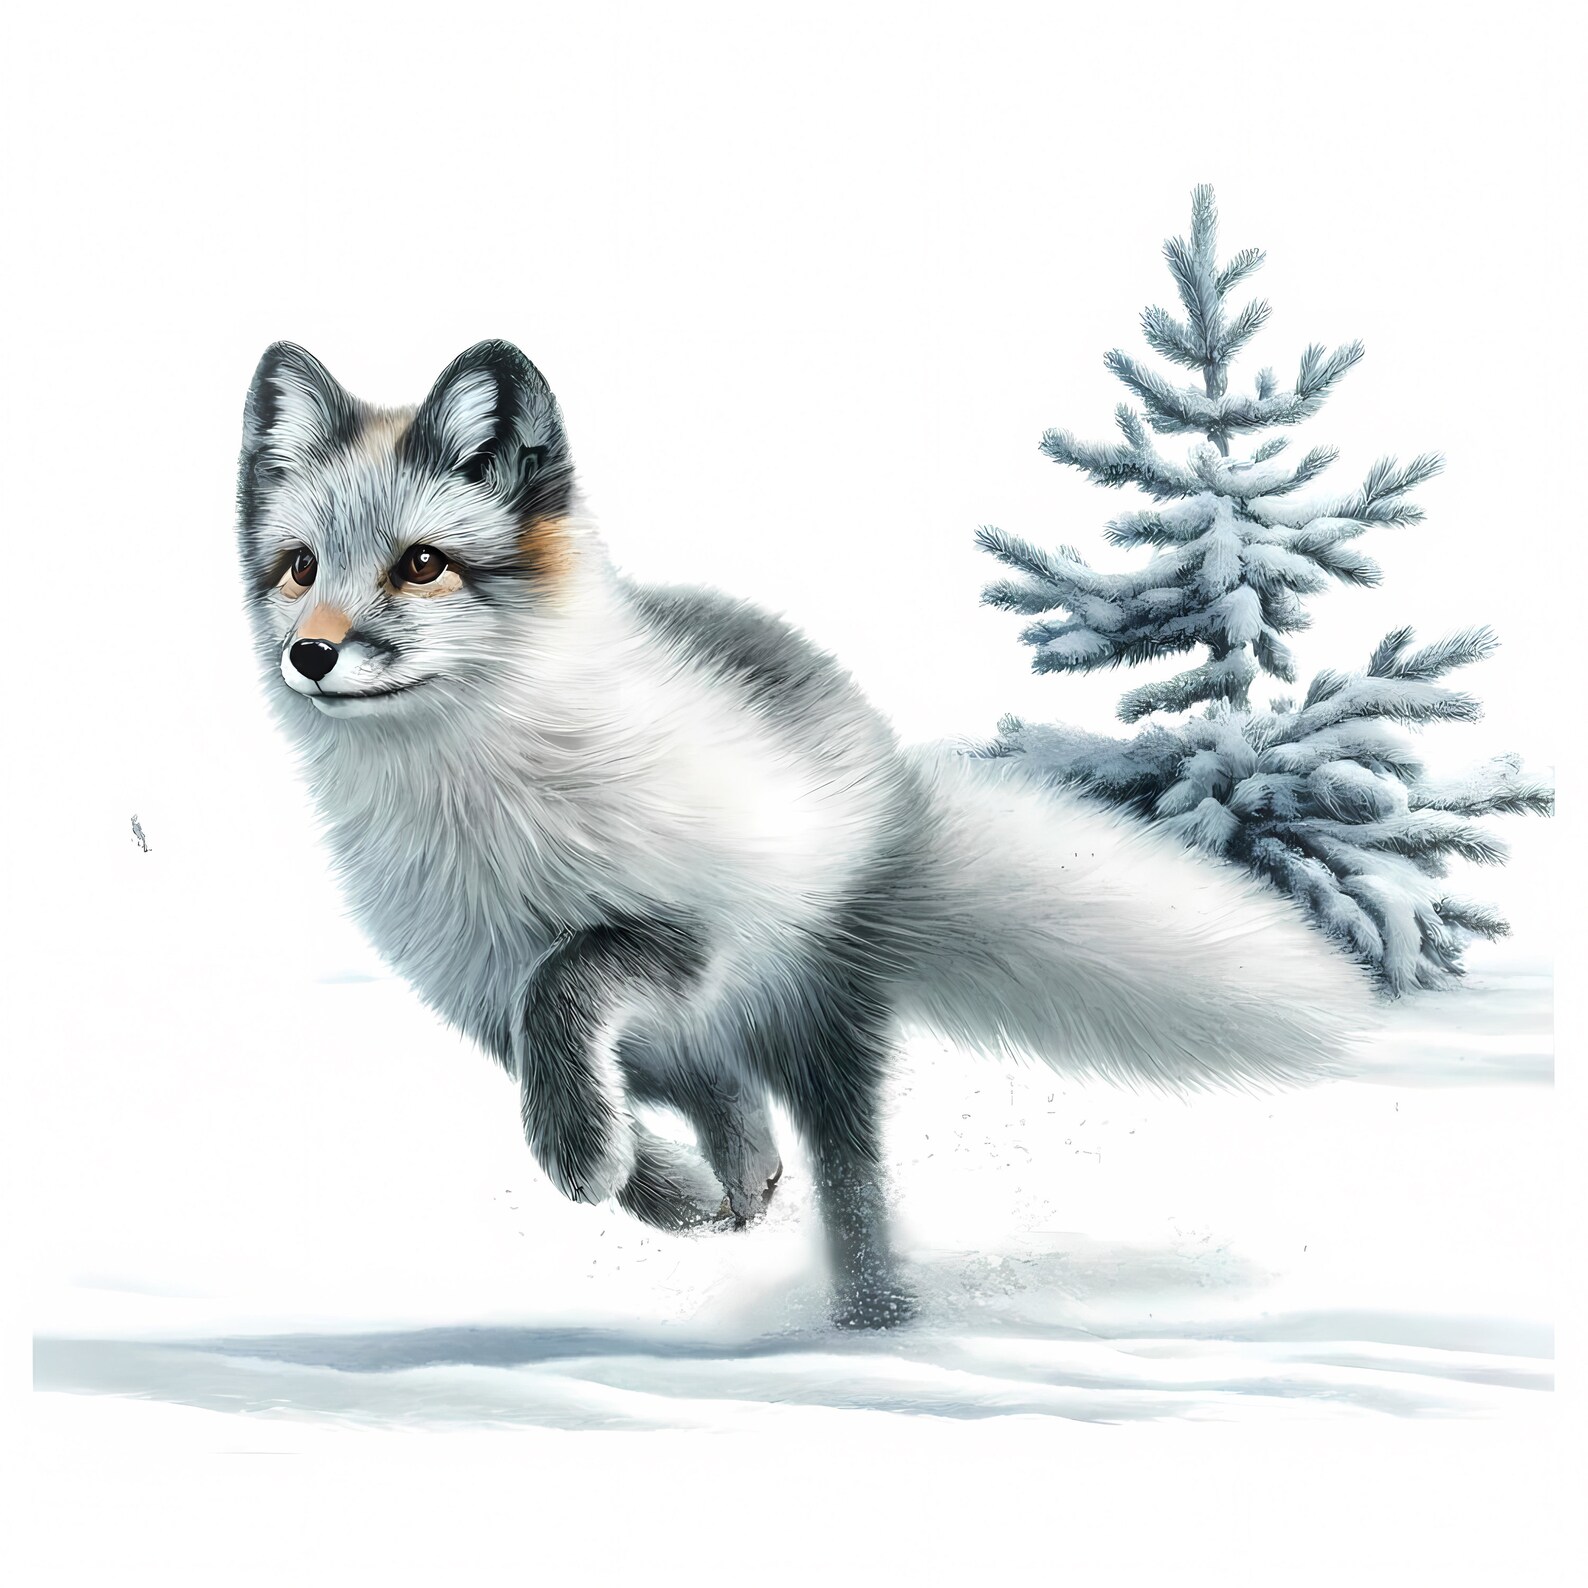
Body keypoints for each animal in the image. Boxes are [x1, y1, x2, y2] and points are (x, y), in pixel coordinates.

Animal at [236, 339, 1370, 1329]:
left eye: (422, 563)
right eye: (299, 567)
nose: (310, 656)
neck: (481, 815)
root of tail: (892, 783)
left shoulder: (694, 927)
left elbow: (570, 976)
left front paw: (589, 1156)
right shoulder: (480, 997)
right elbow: (557, 1061)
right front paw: (654, 1185)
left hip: (810, 1012)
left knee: (842, 1177)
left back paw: (875, 1324)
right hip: (710, 1030)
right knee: (716, 1086)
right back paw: (734, 1184)